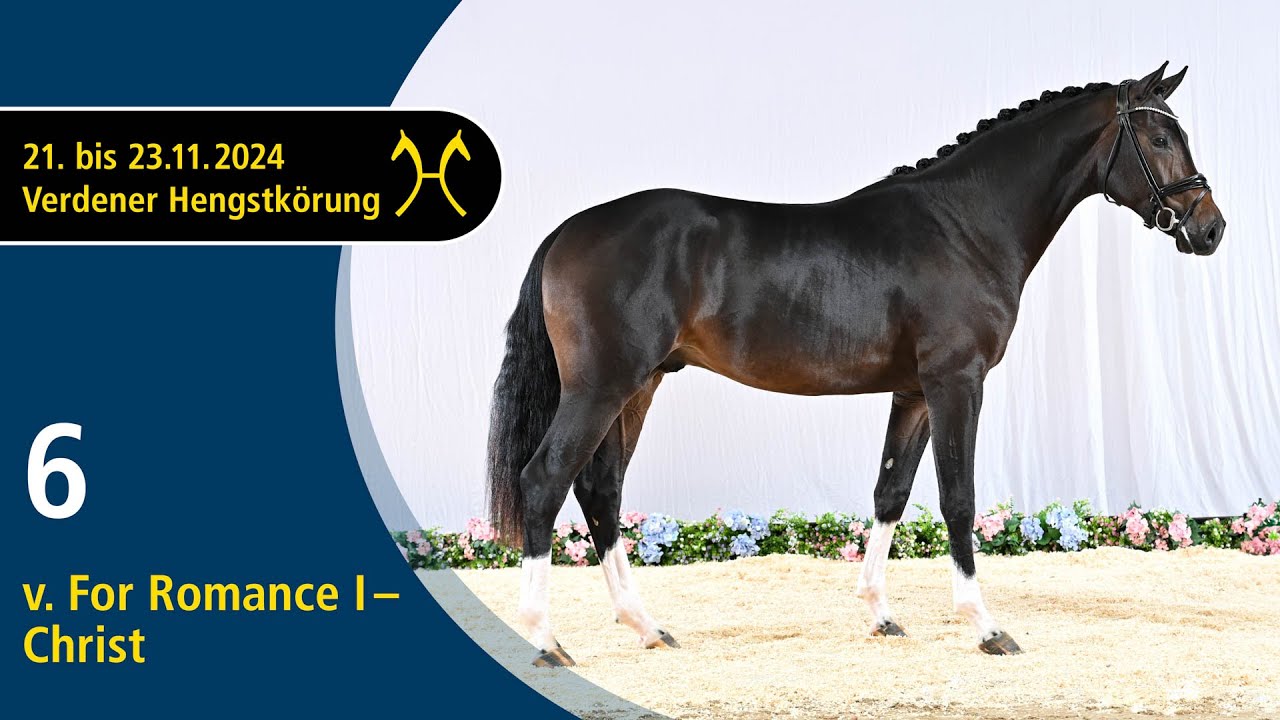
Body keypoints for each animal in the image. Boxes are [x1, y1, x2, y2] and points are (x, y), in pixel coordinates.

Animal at [485, 62, 1224, 666]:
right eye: (1160, 138)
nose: (1210, 227)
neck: (964, 224)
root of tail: (566, 231)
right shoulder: (957, 383)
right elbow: (958, 499)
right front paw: (986, 628)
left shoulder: (914, 393)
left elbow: (890, 493)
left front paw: (882, 617)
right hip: (601, 387)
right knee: (546, 480)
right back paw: (547, 639)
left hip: (636, 388)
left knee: (601, 490)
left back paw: (646, 627)